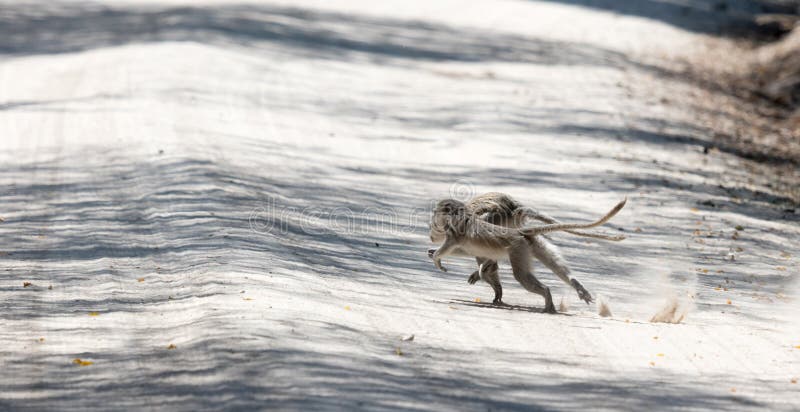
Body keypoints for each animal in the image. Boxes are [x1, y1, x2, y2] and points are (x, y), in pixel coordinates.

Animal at [428, 197, 627, 313]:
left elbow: (451, 247)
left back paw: (546, 296)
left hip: (518, 247)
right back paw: (575, 285)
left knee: (521, 275)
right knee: (548, 261)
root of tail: (519, 232)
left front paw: (437, 258)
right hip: (528, 244)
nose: (432, 229)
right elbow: (463, 250)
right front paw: (432, 254)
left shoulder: (454, 232)